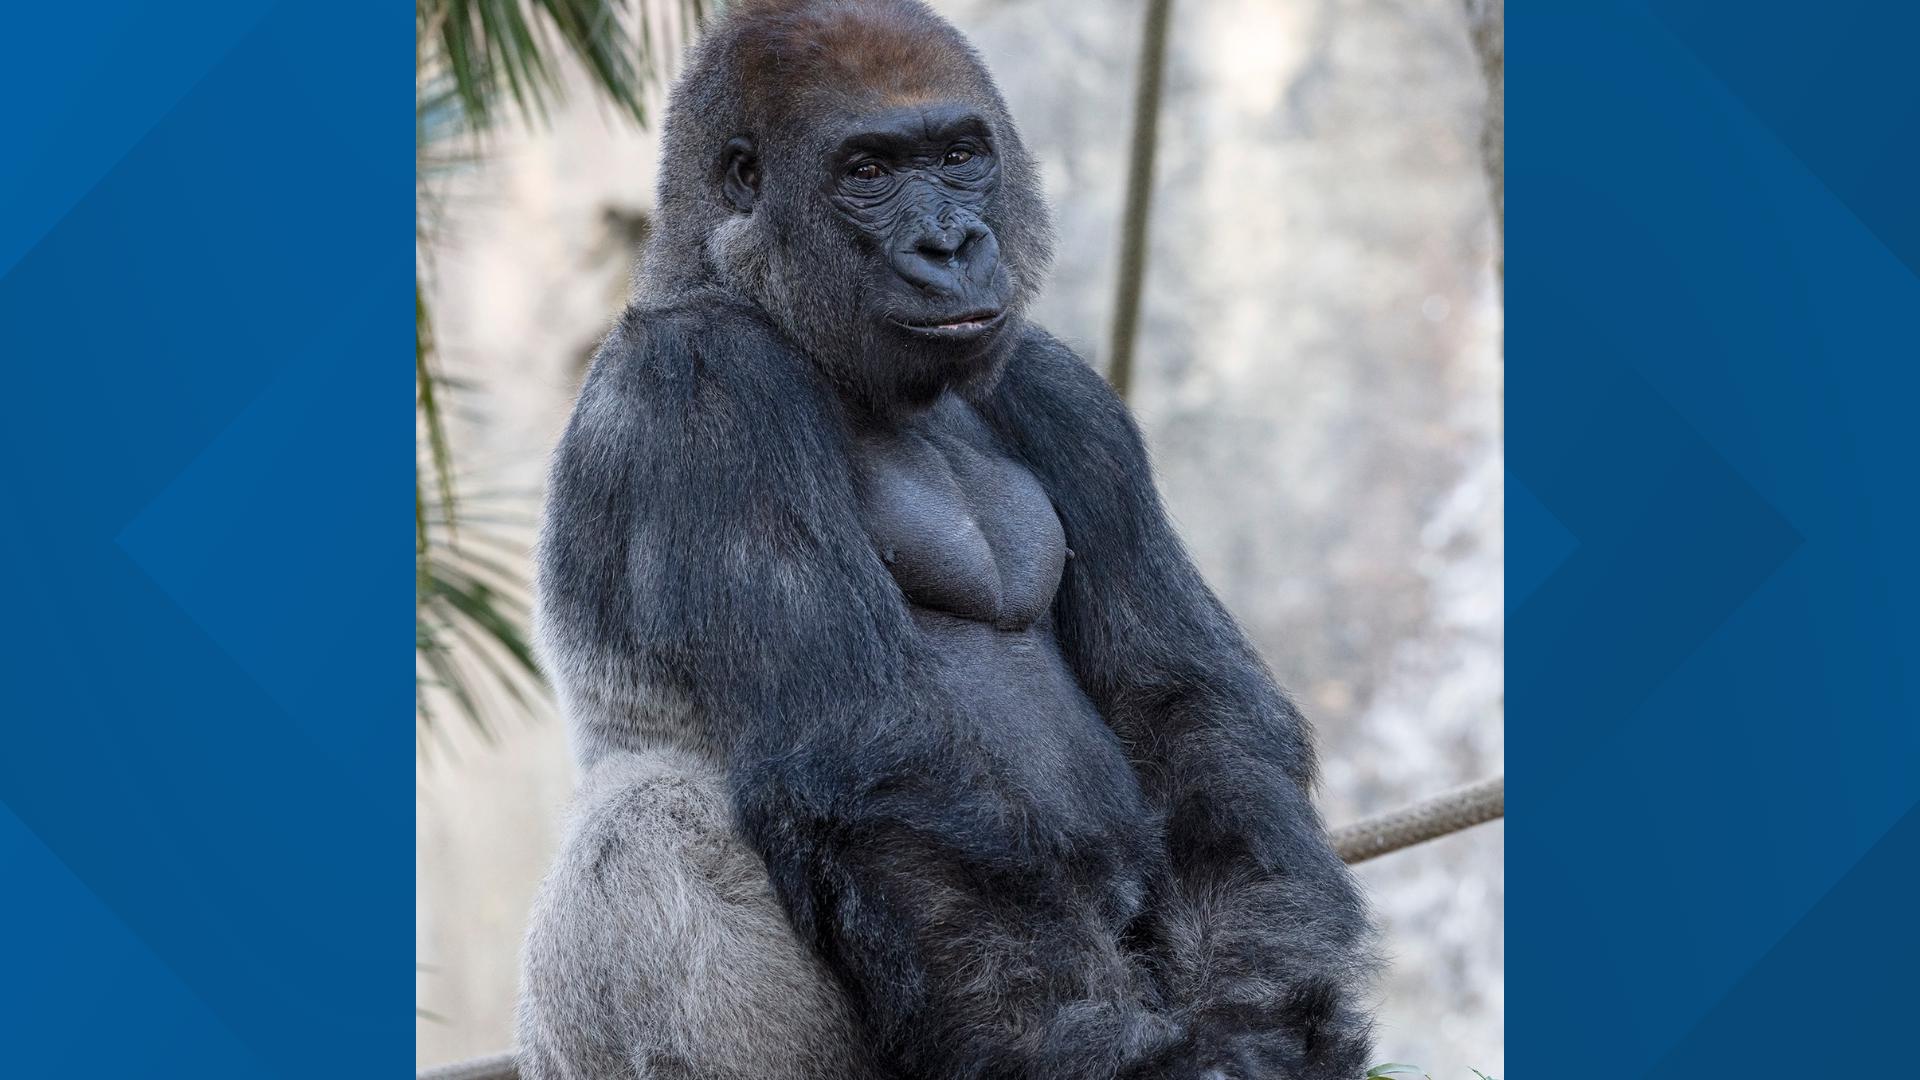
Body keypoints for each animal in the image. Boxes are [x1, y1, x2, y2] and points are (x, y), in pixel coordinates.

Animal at [517, 2, 1376, 1078]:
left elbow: (1191, 714)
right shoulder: (701, 383)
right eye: (868, 171)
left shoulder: (1065, 394)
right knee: (652, 815)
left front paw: (1269, 1023)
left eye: (961, 157)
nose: (952, 244)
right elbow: (868, 747)